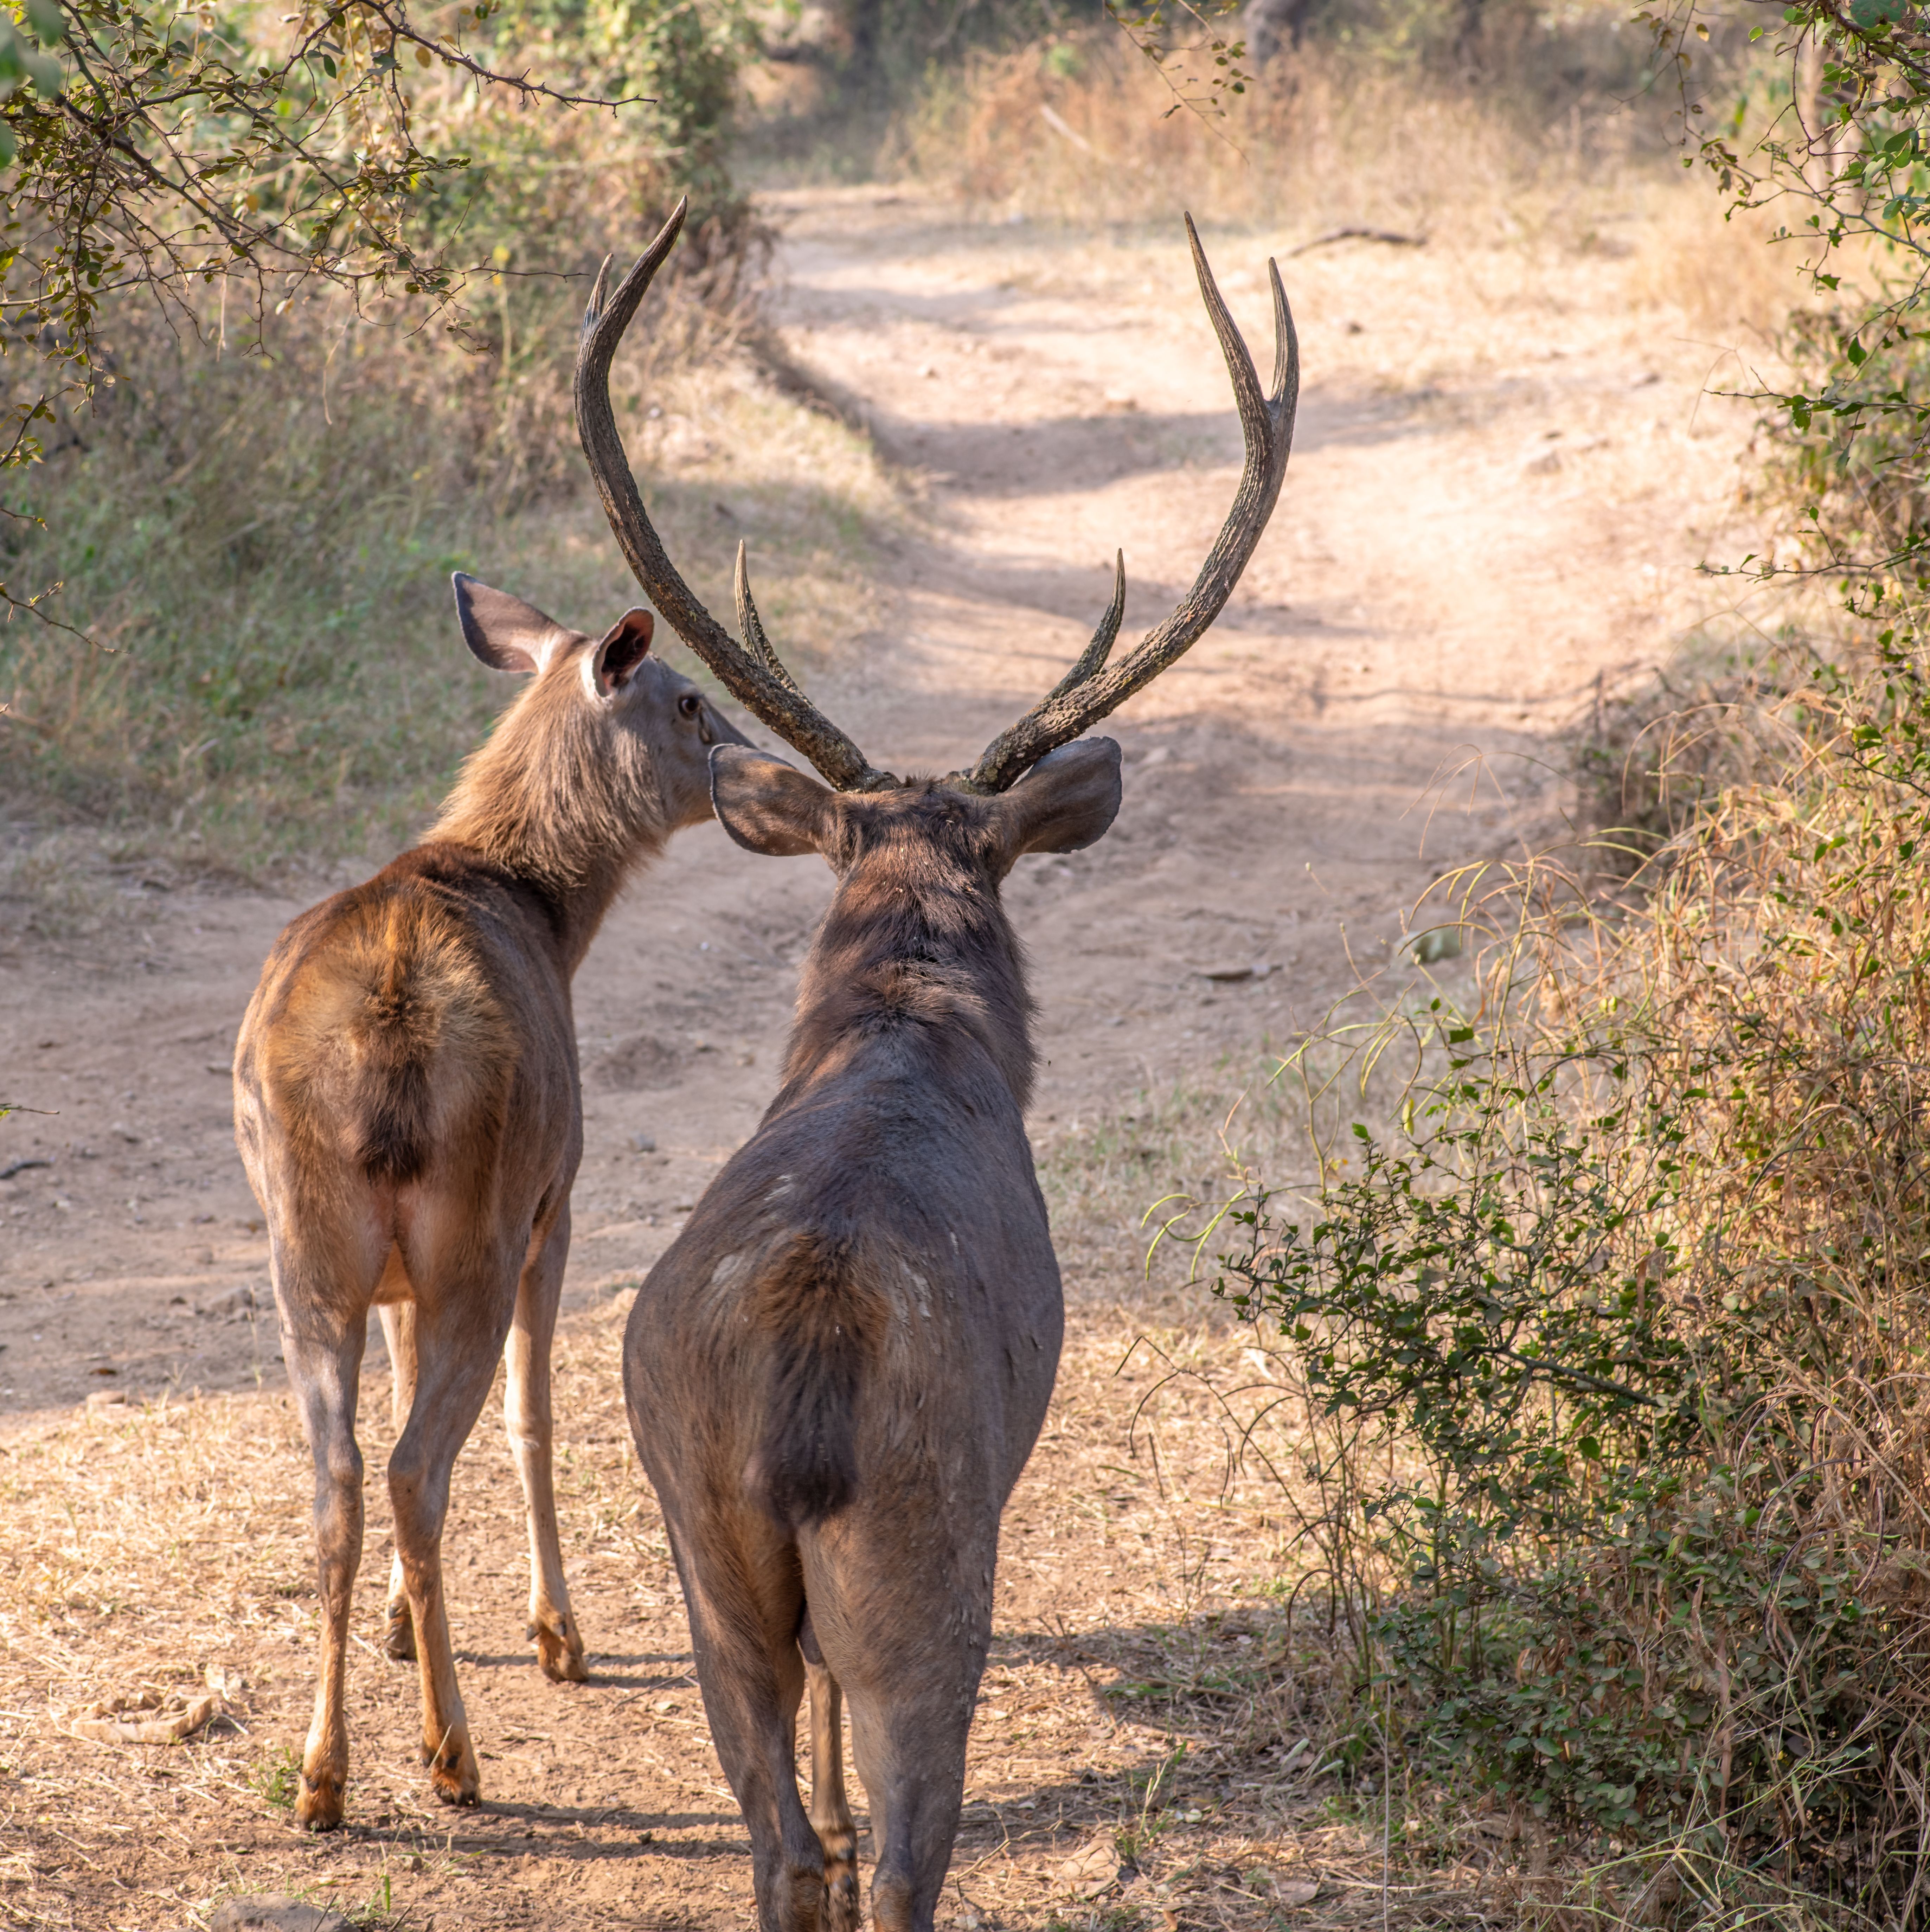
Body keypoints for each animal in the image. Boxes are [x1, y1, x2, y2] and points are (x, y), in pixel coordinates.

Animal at [231, 574, 748, 1830]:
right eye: (687, 699)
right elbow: (535, 1416)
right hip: (480, 1222)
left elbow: (407, 1395)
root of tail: (387, 1035)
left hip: (307, 1253)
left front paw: (397, 1626)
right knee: (418, 1466)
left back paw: (322, 1774)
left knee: (341, 1475)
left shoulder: (395, 1283)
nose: (743, 759)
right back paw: (453, 1755)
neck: (548, 913)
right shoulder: (556, 1204)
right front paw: (559, 1633)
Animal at [572, 201, 1297, 1932]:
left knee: (783, 1833)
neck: (898, 1021)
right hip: (933, 1539)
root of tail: (801, 1387)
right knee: (910, 1839)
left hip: (704, 1547)